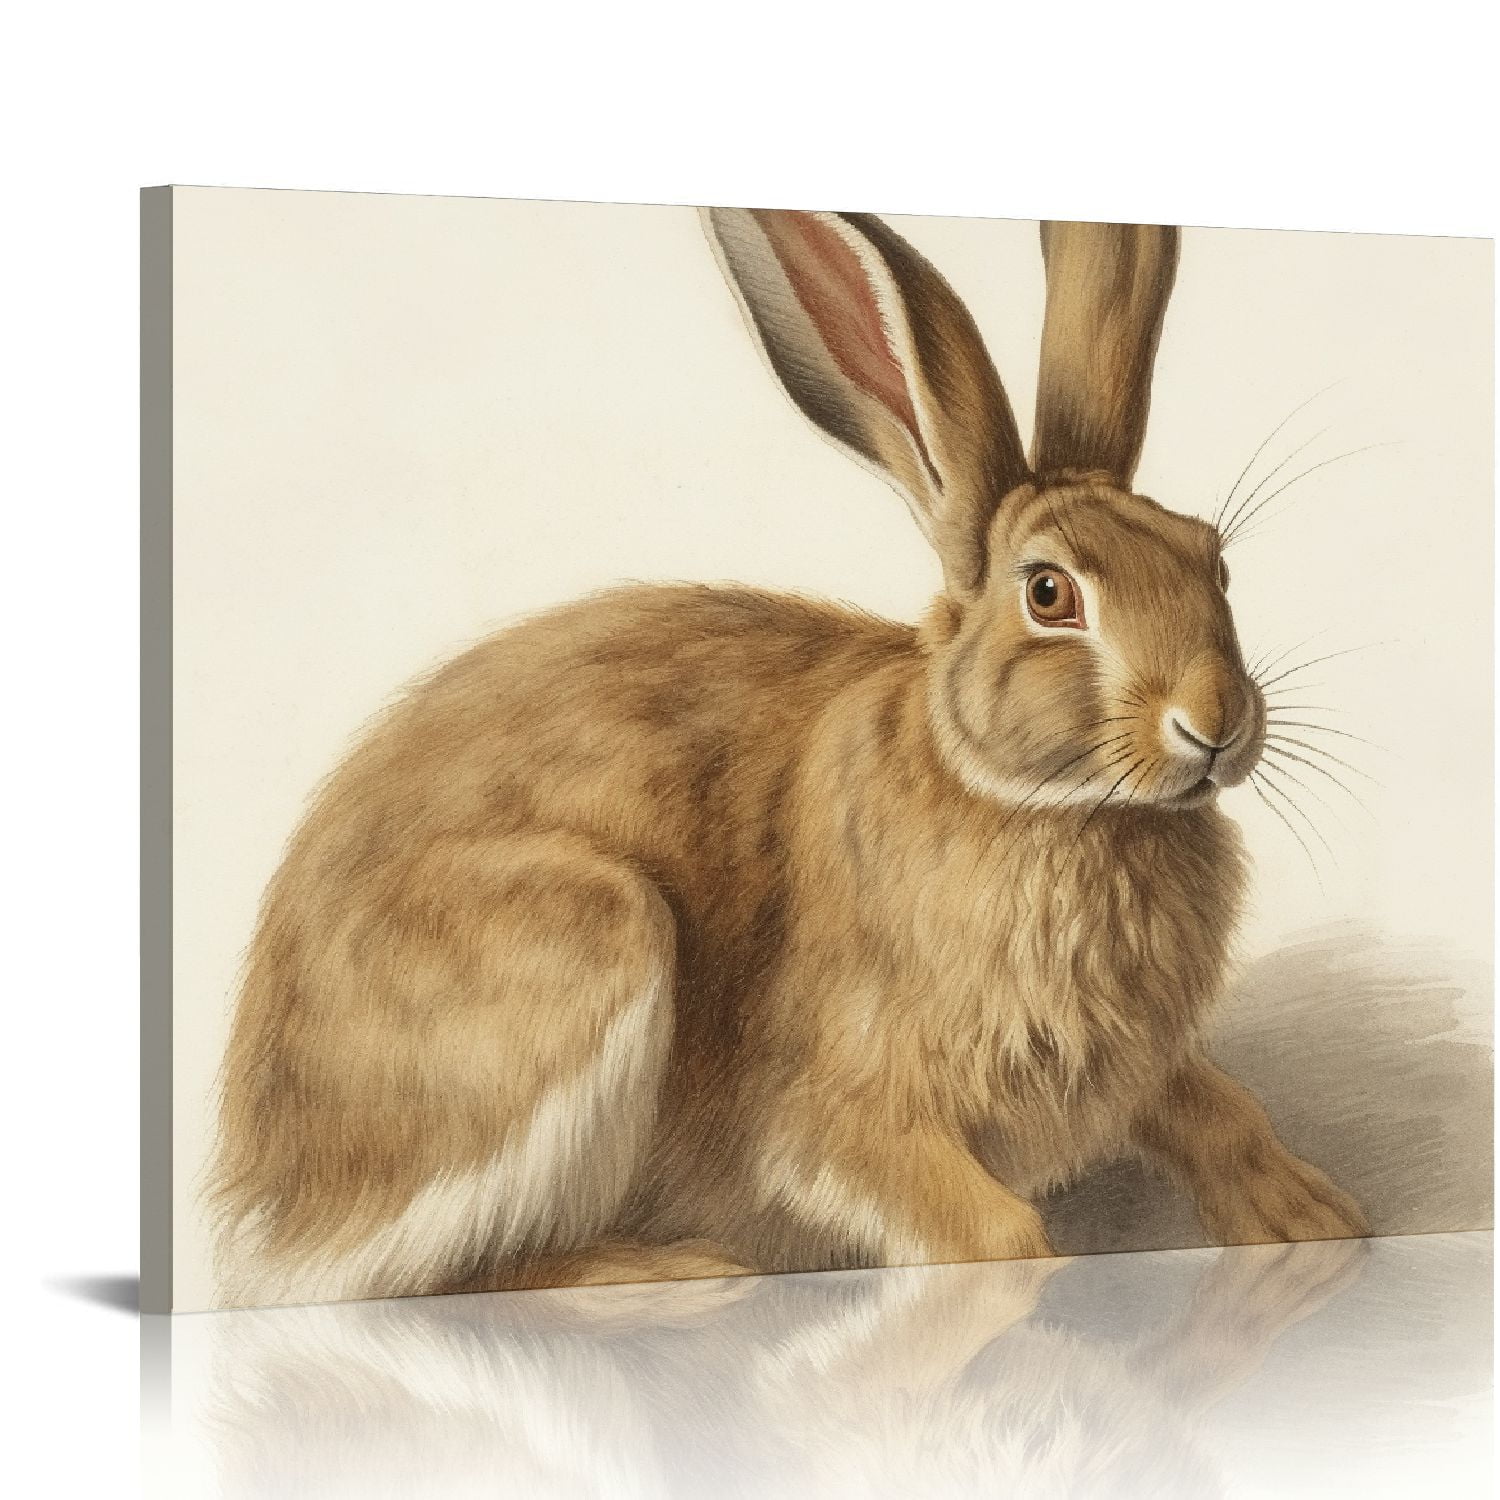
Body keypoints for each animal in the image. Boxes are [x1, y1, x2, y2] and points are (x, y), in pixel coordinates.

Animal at [210, 207, 1368, 1308]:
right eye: (1050, 594)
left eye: (1211, 558)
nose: (1215, 721)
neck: (1042, 804)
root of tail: (253, 1191)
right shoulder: (837, 1108)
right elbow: (987, 1231)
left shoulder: (1145, 1072)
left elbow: (1218, 1109)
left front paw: (1316, 1217)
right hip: (581, 939)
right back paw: (673, 1276)